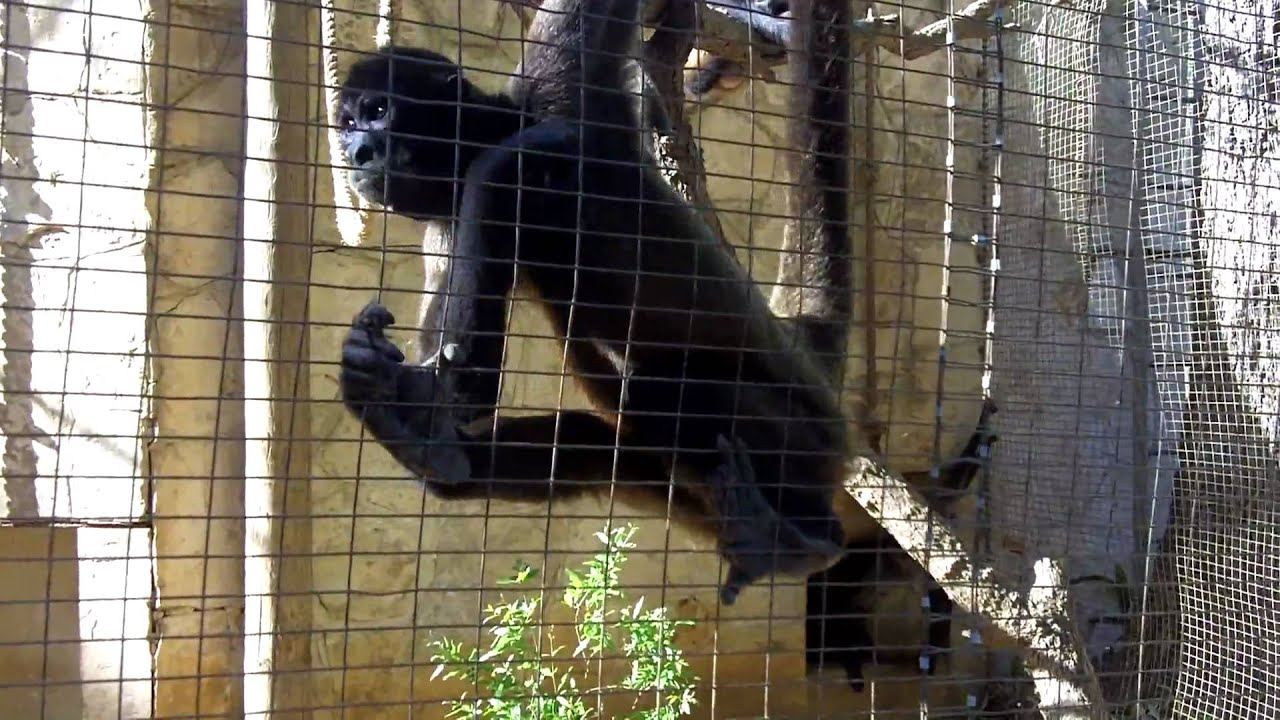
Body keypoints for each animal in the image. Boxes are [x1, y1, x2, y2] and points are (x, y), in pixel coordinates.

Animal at [337, 0, 859, 606]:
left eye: (377, 112)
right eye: (346, 125)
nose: (357, 153)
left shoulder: (561, 89)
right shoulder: (443, 226)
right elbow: (465, 396)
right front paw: (406, 405)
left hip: (805, 446)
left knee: (663, 385)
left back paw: (801, 544)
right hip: (678, 487)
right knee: (586, 441)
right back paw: (429, 448)